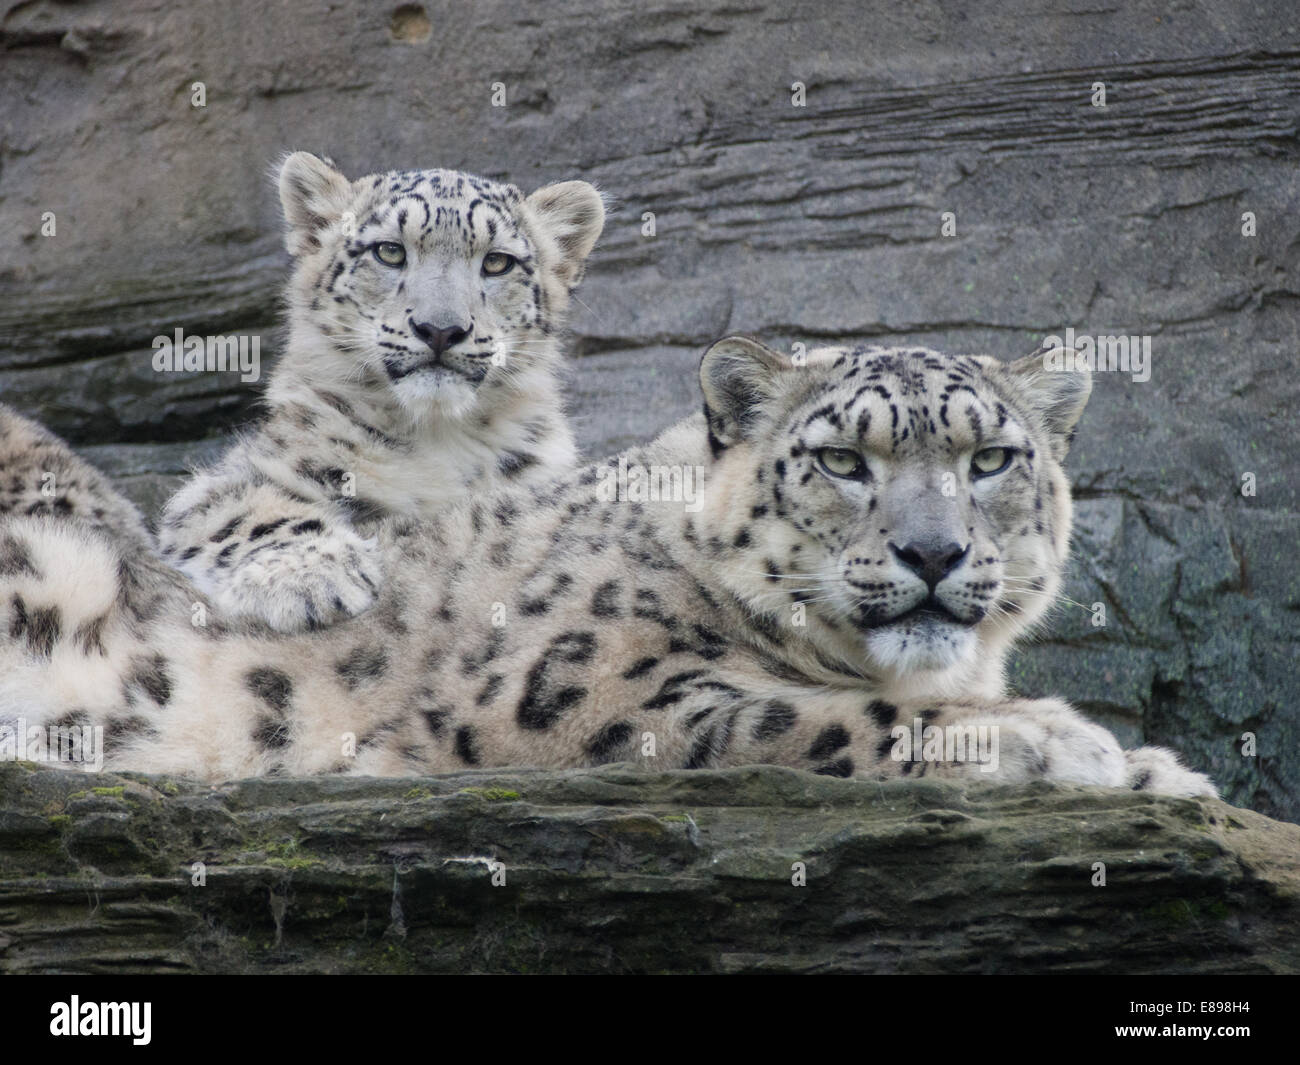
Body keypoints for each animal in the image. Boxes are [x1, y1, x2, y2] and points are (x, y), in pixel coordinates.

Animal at [0, 336, 1215, 798]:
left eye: (991, 457)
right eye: (842, 459)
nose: (934, 550)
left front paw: (1151, 766)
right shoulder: (579, 692)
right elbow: (824, 716)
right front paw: (1061, 742)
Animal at [156, 152, 605, 632]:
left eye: (498, 262)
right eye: (389, 251)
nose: (441, 329)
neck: (440, 436)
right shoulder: (232, 477)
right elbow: (247, 511)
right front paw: (308, 577)